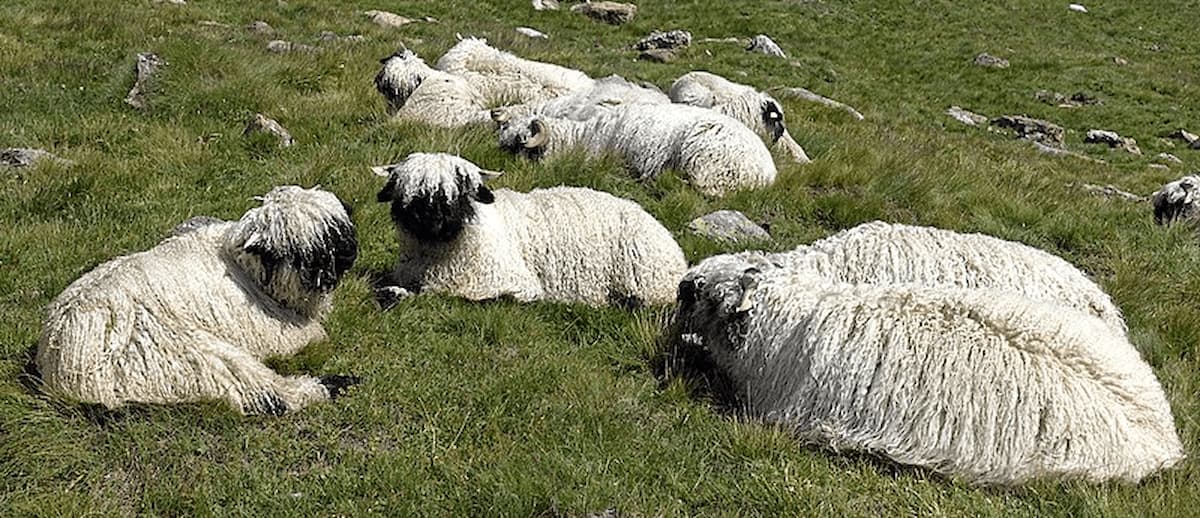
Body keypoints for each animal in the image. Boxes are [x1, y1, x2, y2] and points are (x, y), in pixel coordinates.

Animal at [36, 186, 360, 415]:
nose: (347, 257)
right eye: (308, 250)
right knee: (267, 394)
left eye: (338, 231)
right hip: (193, 360)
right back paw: (335, 384)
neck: (241, 264)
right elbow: (317, 336)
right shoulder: (280, 334)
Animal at [373, 153, 686, 306]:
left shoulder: (514, 283)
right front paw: (392, 292)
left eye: (463, 189)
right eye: (408, 190)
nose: (434, 219)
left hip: (647, 282)